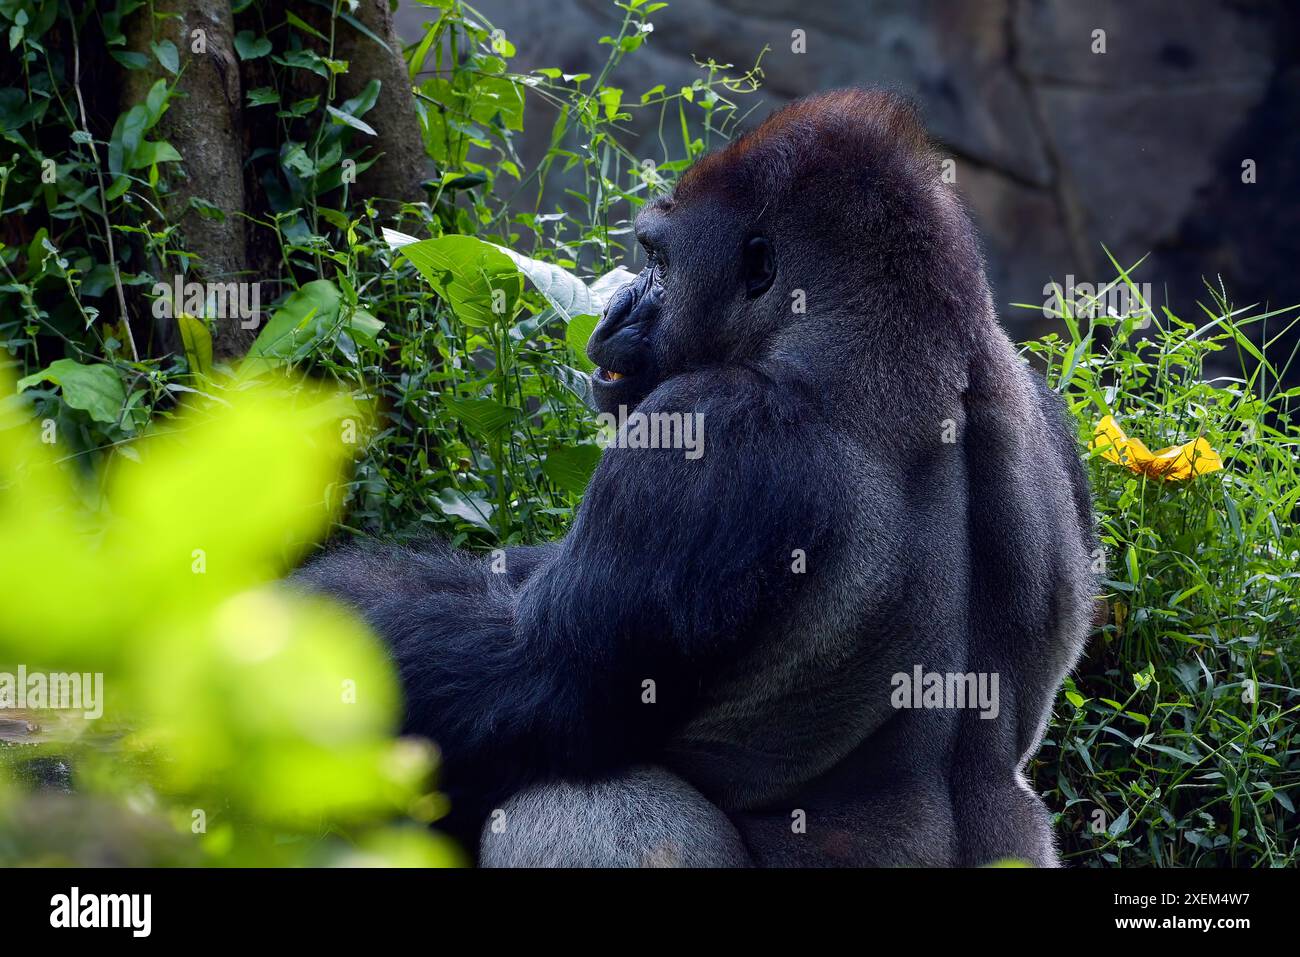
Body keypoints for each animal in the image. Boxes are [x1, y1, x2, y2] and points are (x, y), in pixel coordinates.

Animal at [294, 88, 1095, 867]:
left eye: (658, 259)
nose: (616, 305)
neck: (912, 341)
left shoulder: (708, 424)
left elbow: (533, 673)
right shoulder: (1052, 414)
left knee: (575, 795)